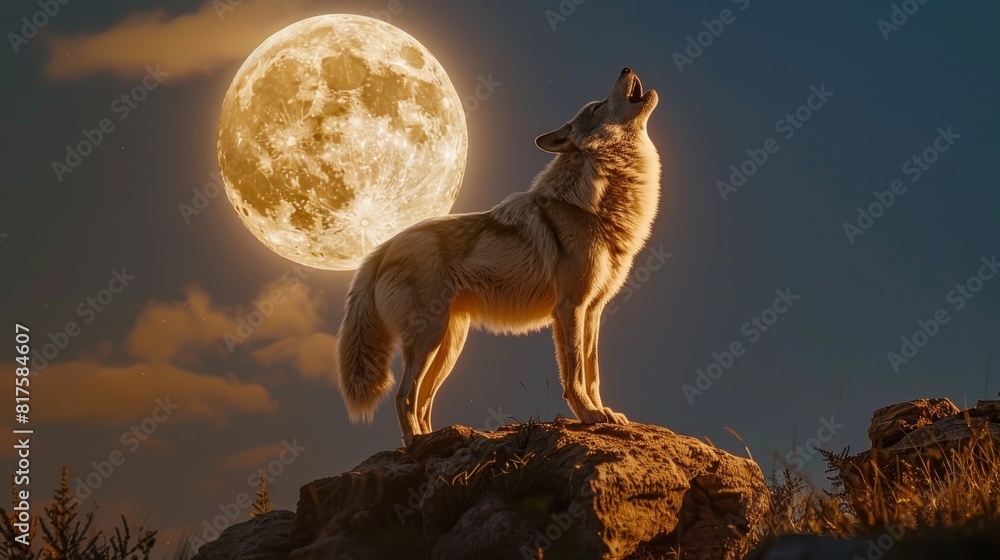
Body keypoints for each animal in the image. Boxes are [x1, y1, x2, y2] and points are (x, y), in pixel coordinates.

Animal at [337, 67, 661, 445]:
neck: (595, 203)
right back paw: (417, 443)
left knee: (423, 399)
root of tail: (381, 249)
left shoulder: (593, 310)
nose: (626, 69)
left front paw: (604, 413)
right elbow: (575, 373)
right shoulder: (571, 307)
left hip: (449, 345)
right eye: (596, 106)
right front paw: (589, 415)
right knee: (404, 396)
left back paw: (437, 437)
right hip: (430, 338)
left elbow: (592, 374)